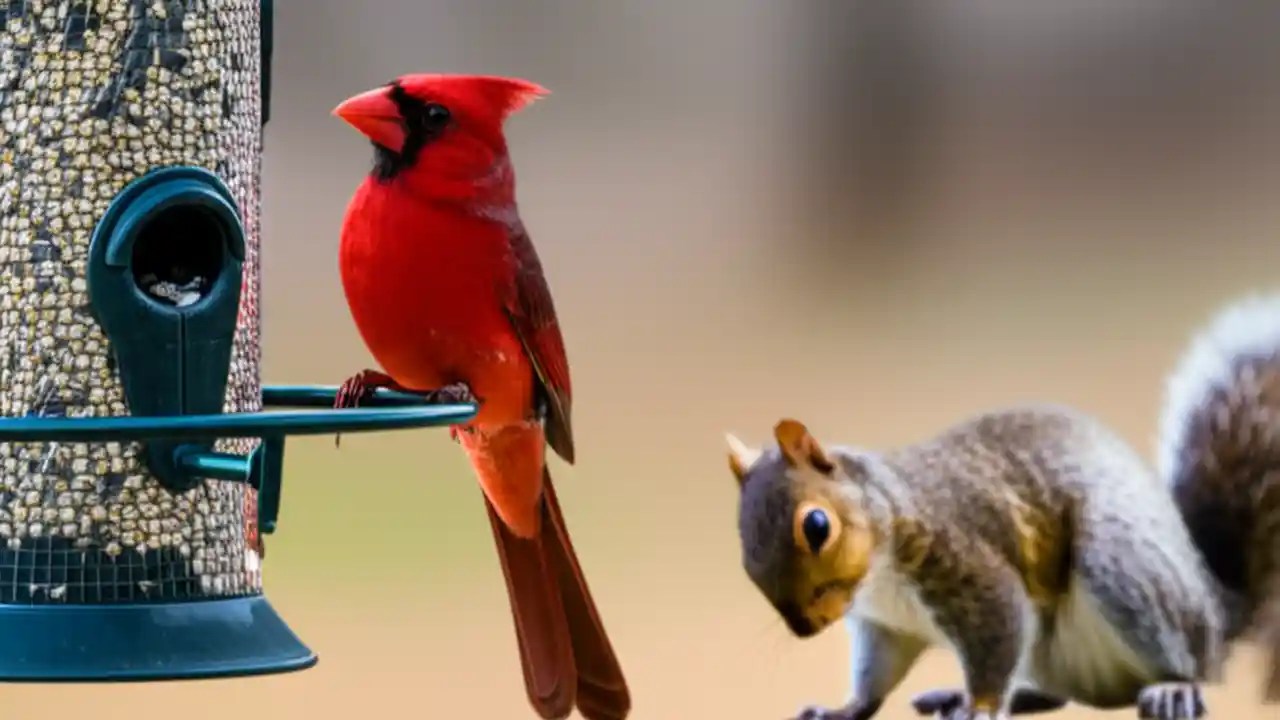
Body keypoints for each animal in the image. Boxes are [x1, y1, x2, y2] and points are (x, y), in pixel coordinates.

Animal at [726, 293, 1280, 720]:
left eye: (817, 526)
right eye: (743, 552)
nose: (803, 628)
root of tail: (1217, 606)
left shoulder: (973, 571)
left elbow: (996, 640)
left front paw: (982, 705)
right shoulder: (885, 627)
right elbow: (873, 677)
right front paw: (843, 709)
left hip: (1125, 569)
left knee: (1195, 663)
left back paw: (1174, 687)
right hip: (1055, 650)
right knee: (1060, 694)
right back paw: (966, 695)